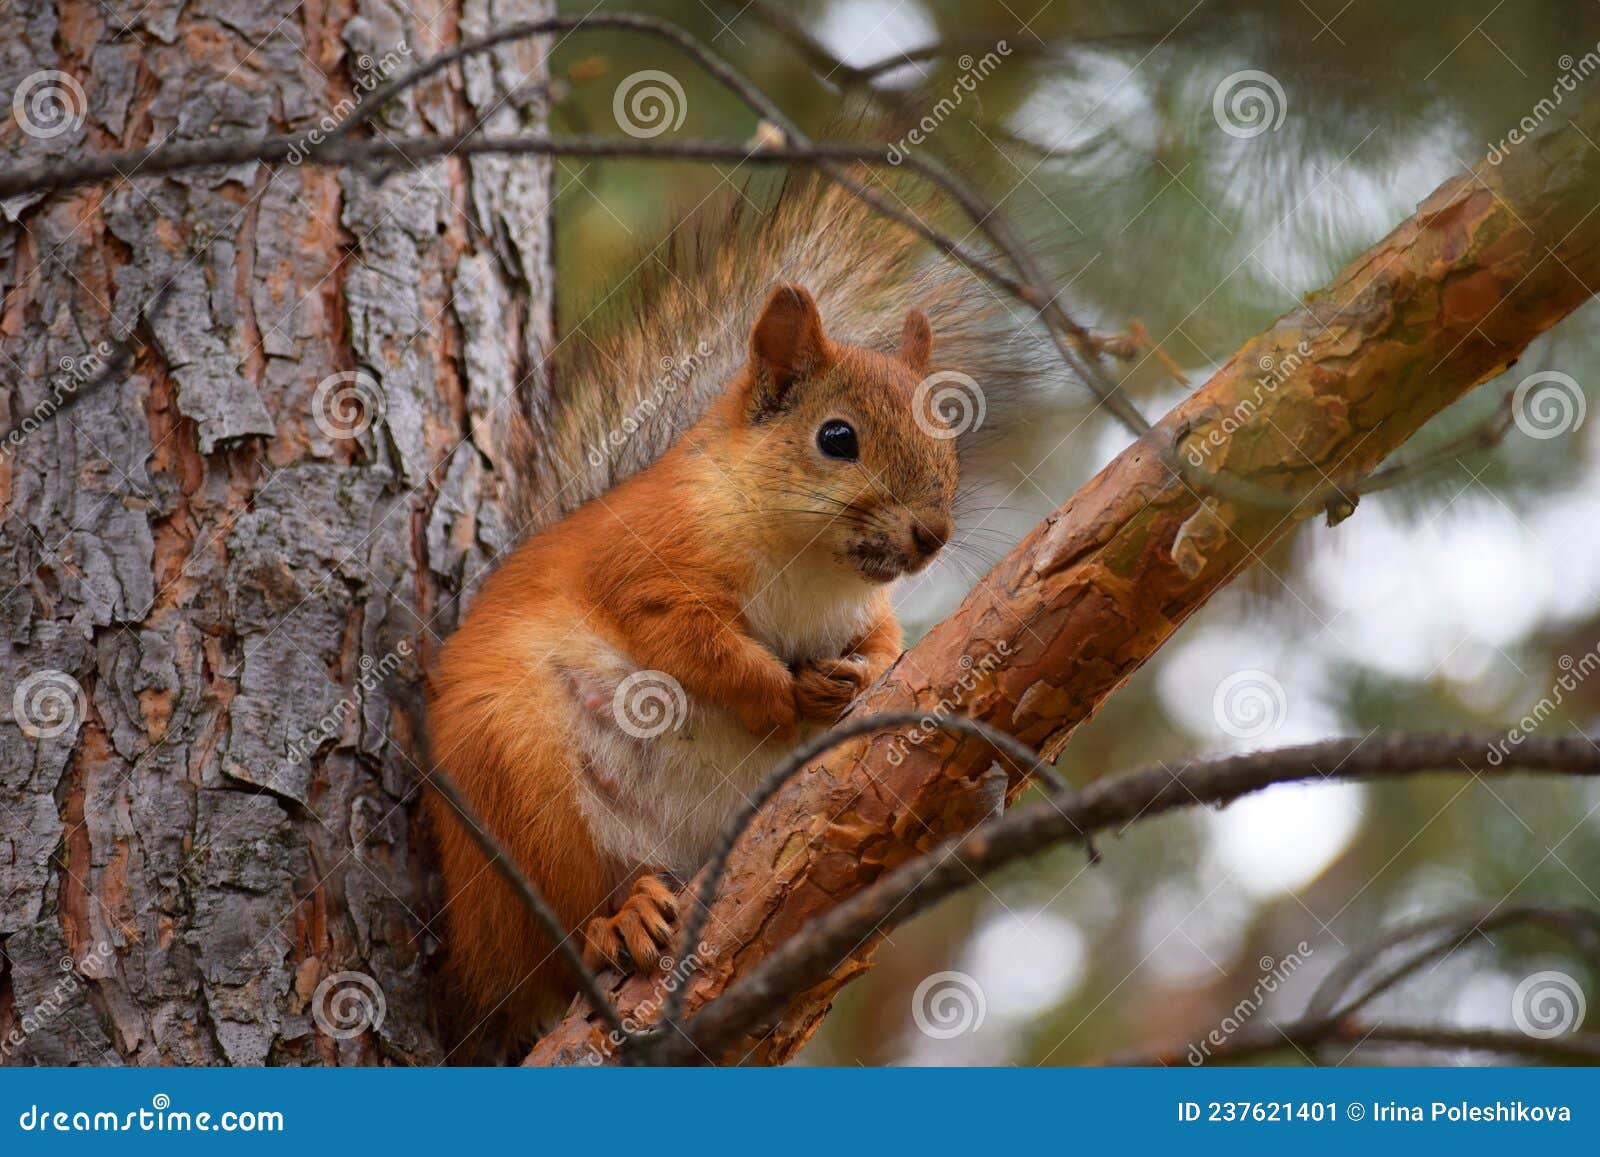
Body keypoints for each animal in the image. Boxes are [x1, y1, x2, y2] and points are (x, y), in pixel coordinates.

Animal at [424, 176, 1049, 1051]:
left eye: (949, 443)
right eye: (837, 437)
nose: (932, 534)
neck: (809, 564)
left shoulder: (866, 609)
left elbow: (884, 641)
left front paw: (858, 676)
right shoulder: (643, 572)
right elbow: (701, 648)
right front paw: (785, 693)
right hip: (519, 778)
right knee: (559, 924)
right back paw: (618, 917)